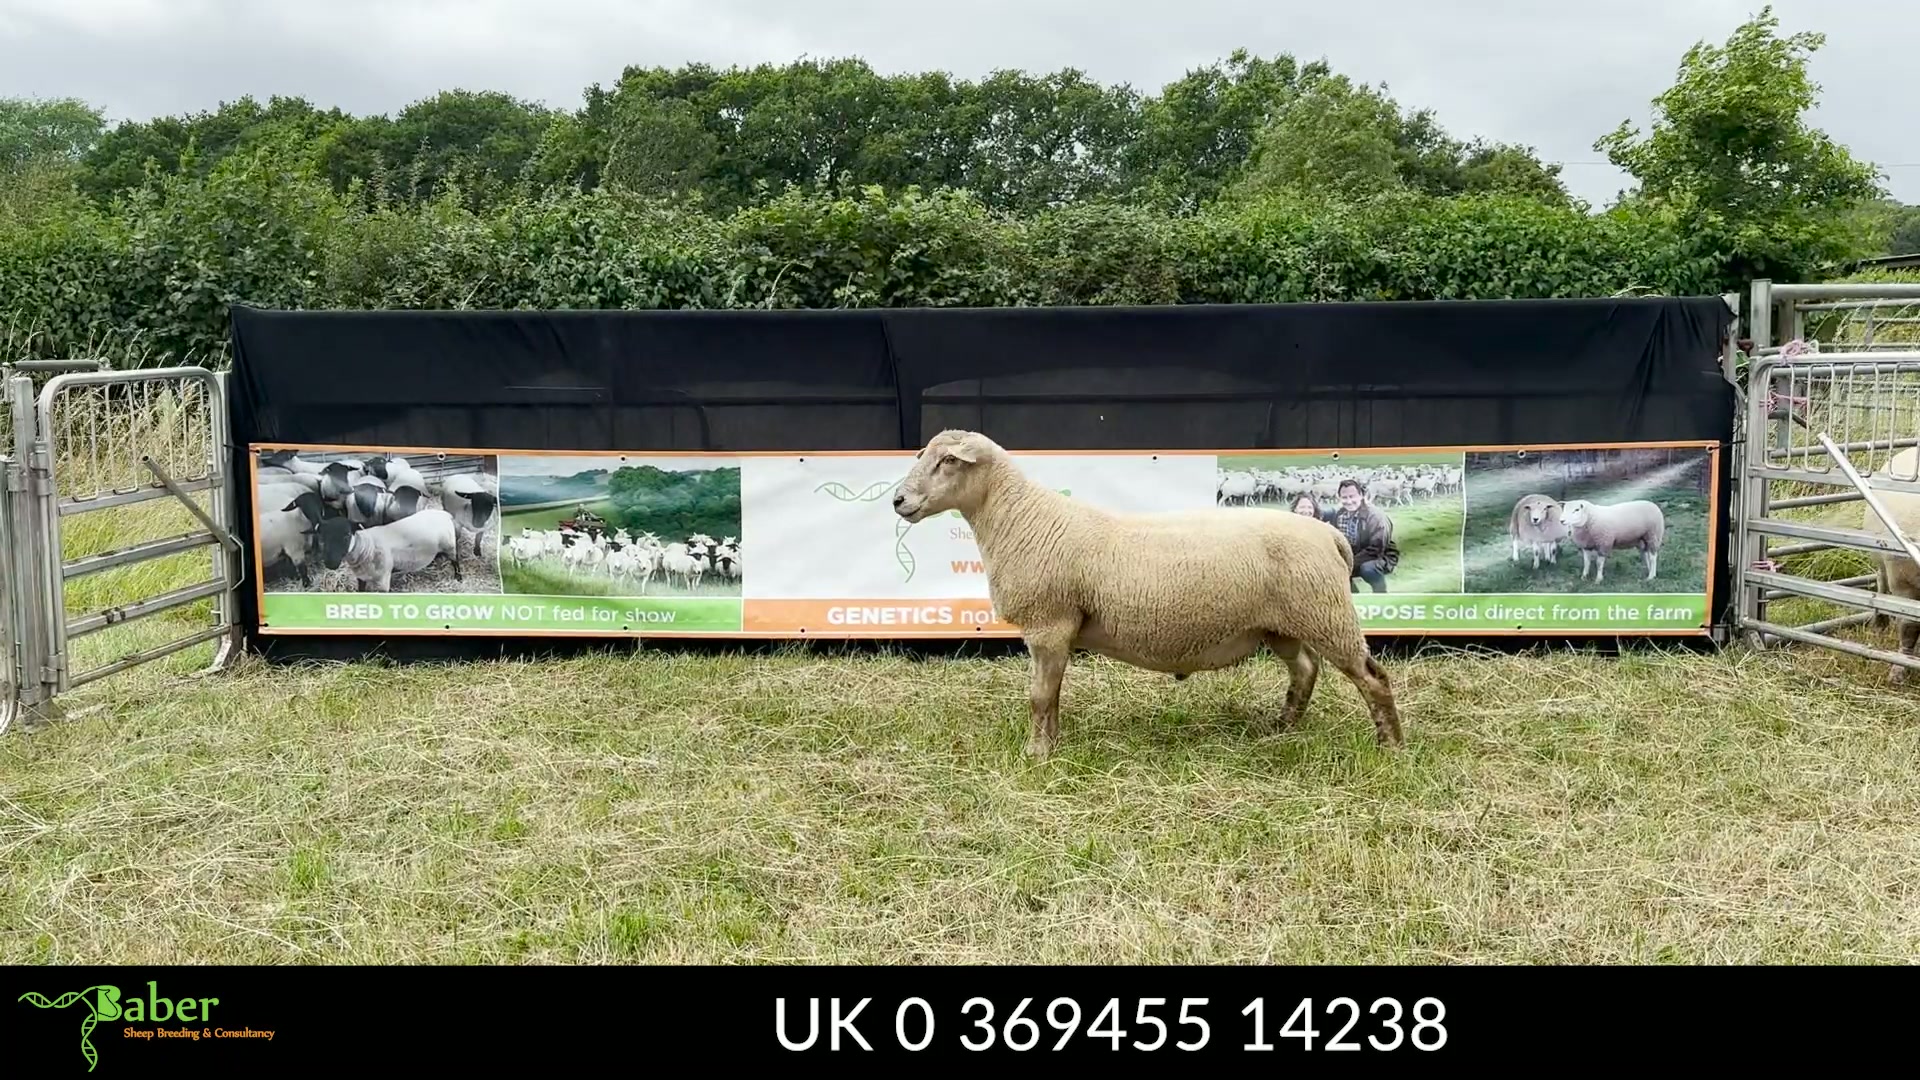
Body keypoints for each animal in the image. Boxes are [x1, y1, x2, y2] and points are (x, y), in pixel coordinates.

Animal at [313, 508, 461, 592]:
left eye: (347, 535)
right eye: (322, 537)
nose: (330, 563)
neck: (367, 547)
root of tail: (444, 513)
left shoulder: (383, 581)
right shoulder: (361, 577)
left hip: (450, 545)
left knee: (455, 561)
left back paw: (458, 577)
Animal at [891, 429, 1403, 760]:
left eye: (948, 461)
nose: (898, 501)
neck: (1021, 518)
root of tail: (1329, 536)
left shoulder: (1049, 623)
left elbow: (1038, 696)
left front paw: (1035, 754)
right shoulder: (1055, 632)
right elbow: (1051, 695)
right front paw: (1052, 744)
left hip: (1325, 613)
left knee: (1372, 678)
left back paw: (1391, 747)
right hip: (1281, 623)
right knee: (1305, 670)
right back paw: (1281, 727)